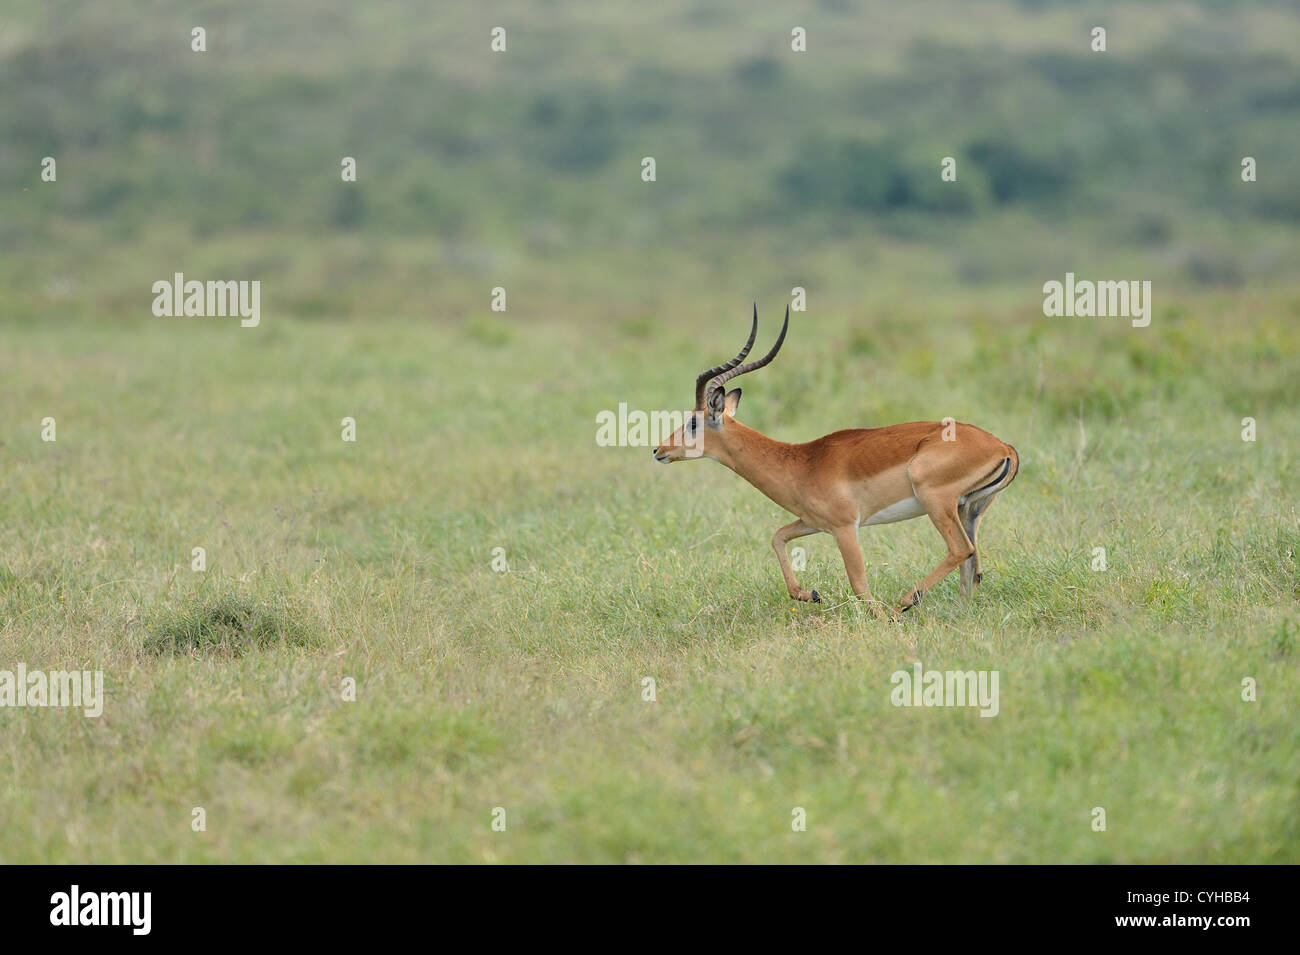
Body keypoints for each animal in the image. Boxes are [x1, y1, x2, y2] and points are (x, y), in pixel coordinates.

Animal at [653, 306, 1019, 618]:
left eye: (694, 422)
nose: (659, 450)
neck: (799, 462)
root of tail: (1003, 447)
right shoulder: (813, 522)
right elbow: (777, 536)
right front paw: (810, 594)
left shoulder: (845, 527)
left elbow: (859, 584)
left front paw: (882, 618)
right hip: (968, 509)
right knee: (972, 565)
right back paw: (957, 613)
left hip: (936, 500)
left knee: (960, 550)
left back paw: (904, 603)